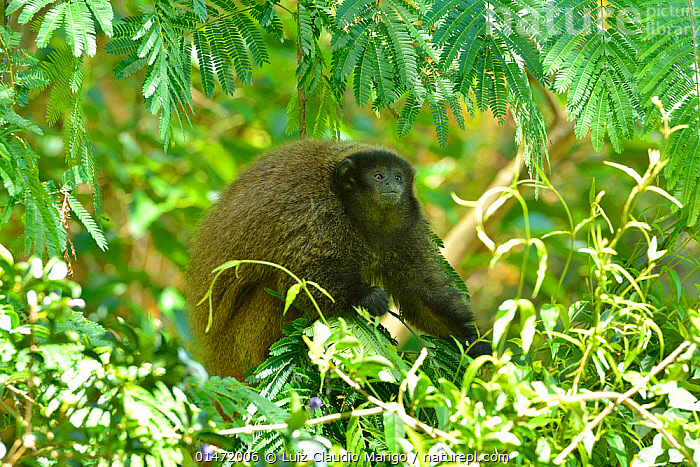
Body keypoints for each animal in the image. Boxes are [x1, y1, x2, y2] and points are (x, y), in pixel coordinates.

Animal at [185, 140, 490, 380]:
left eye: (398, 178)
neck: (353, 208)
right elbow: (302, 281)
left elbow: (419, 290)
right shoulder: (319, 211)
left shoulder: (407, 225)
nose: (391, 183)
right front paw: (367, 297)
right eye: (378, 176)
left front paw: (471, 340)